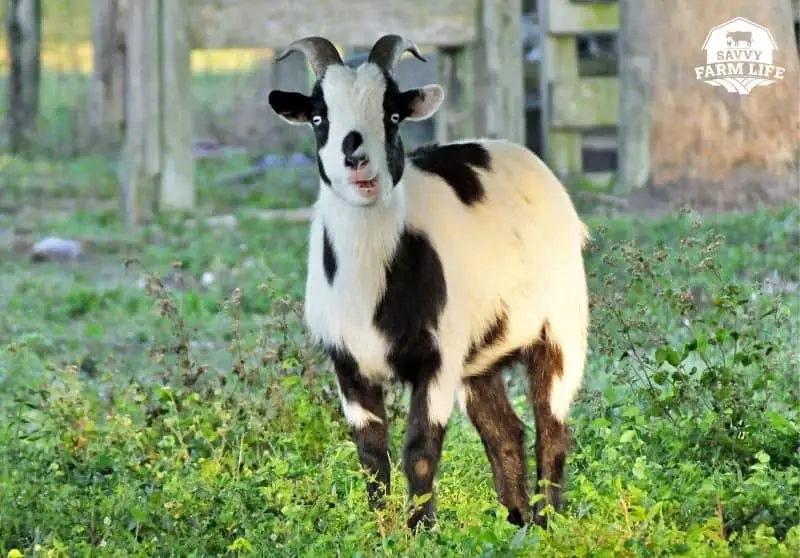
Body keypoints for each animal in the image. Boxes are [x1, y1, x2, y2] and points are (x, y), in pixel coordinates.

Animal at [267, 34, 590, 531]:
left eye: (393, 116)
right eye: (319, 117)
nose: (356, 159)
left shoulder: (437, 357)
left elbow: (419, 448)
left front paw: (421, 530)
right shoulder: (346, 362)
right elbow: (371, 454)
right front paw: (379, 529)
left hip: (561, 326)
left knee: (551, 424)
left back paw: (545, 522)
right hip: (479, 358)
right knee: (503, 430)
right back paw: (514, 522)